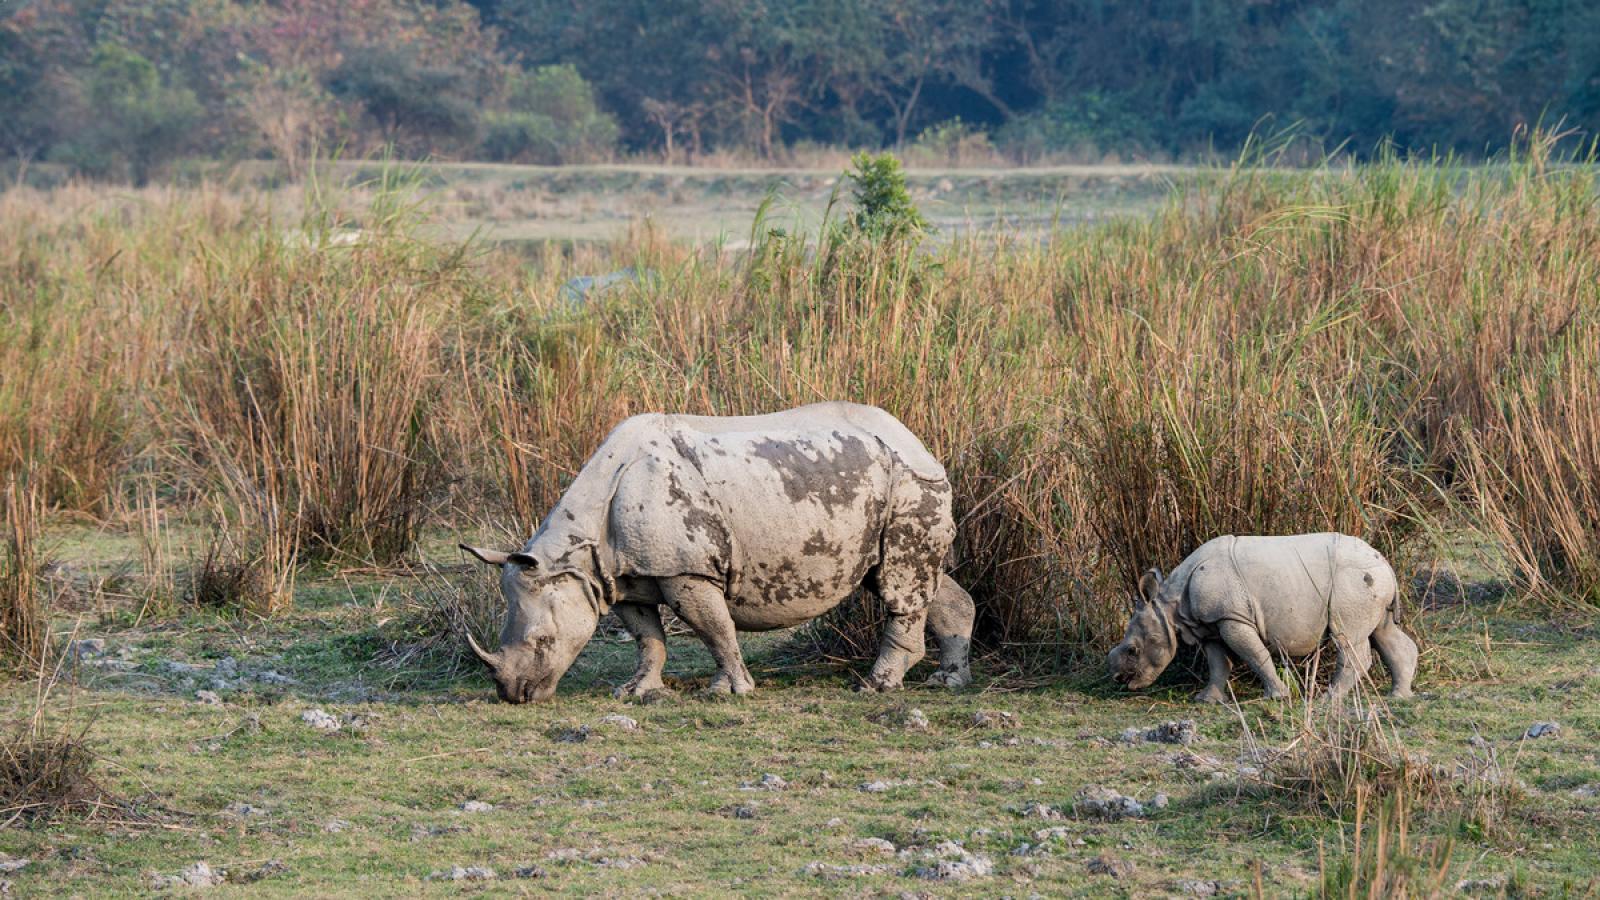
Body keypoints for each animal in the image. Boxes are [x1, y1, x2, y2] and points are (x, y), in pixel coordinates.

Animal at [461, 402, 974, 703]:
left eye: (543, 641)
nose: (513, 695)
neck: (573, 557)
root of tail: (918, 442)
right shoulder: (622, 575)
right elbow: (648, 637)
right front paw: (634, 692)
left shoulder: (686, 570)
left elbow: (714, 628)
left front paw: (730, 692)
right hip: (887, 482)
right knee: (913, 579)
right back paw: (947, 681)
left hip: (908, 482)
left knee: (899, 581)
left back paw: (874, 686)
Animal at [1107, 533, 1417, 702]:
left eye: (1132, 650)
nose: (1121, 680)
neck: (1171, 605)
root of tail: (1386, 563)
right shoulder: (1210, 623)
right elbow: (1219, 663)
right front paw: (1206, 700)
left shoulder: (1232, 617)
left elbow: (1255, 654)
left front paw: (1278, 696)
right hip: (1369, 583)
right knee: (1383, 632)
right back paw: (1398, 695)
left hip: (1353, 581)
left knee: (1348, 638)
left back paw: (1327, 700)